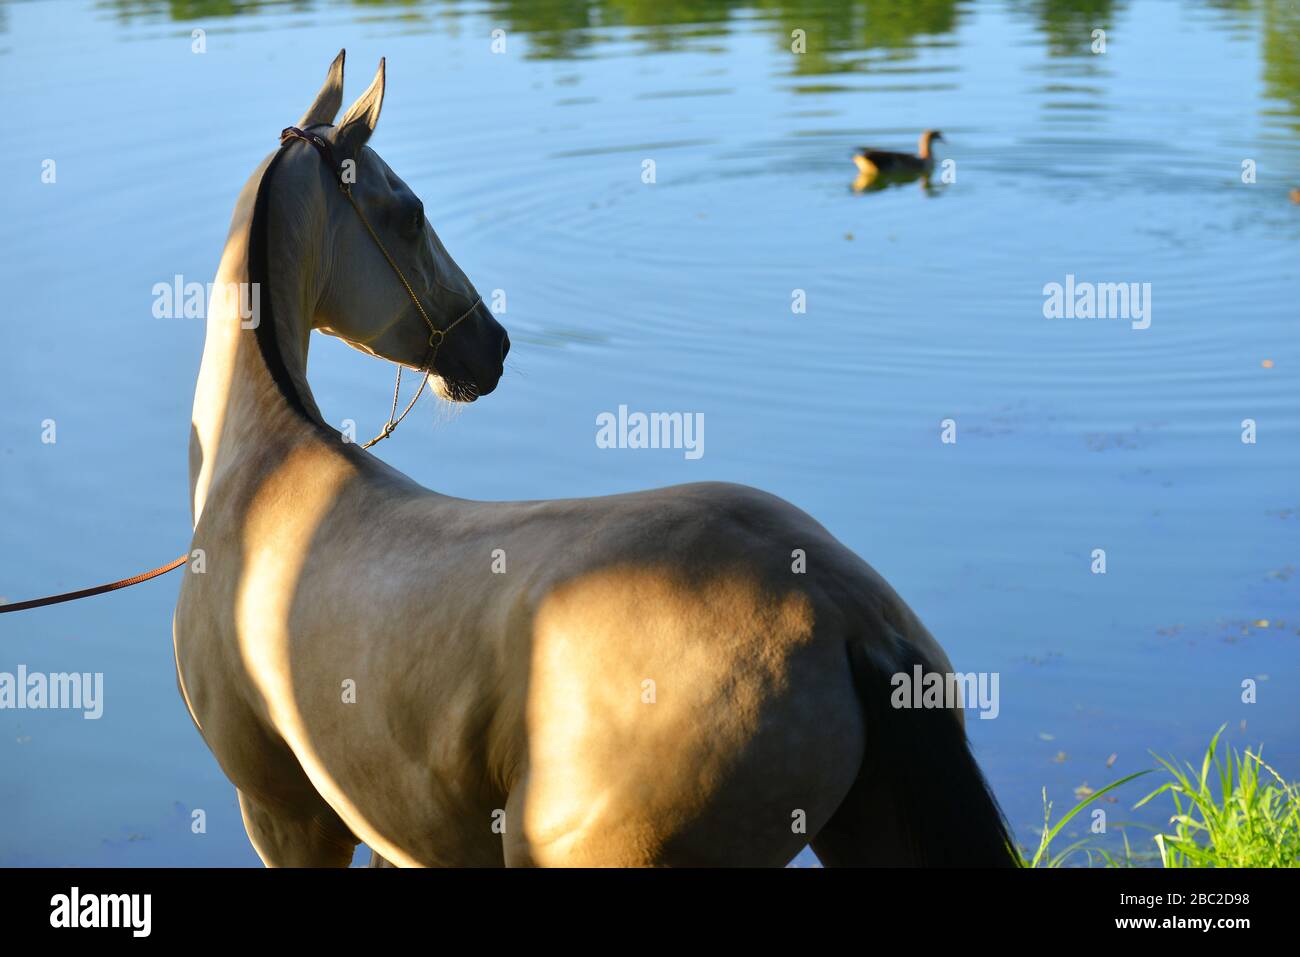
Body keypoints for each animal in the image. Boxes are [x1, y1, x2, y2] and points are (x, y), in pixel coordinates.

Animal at [173, 51, 1017, 867]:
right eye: (409, 214)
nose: (491, 344)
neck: (268, 471)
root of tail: (852, 614)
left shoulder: (287, 818)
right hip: (867, 833)